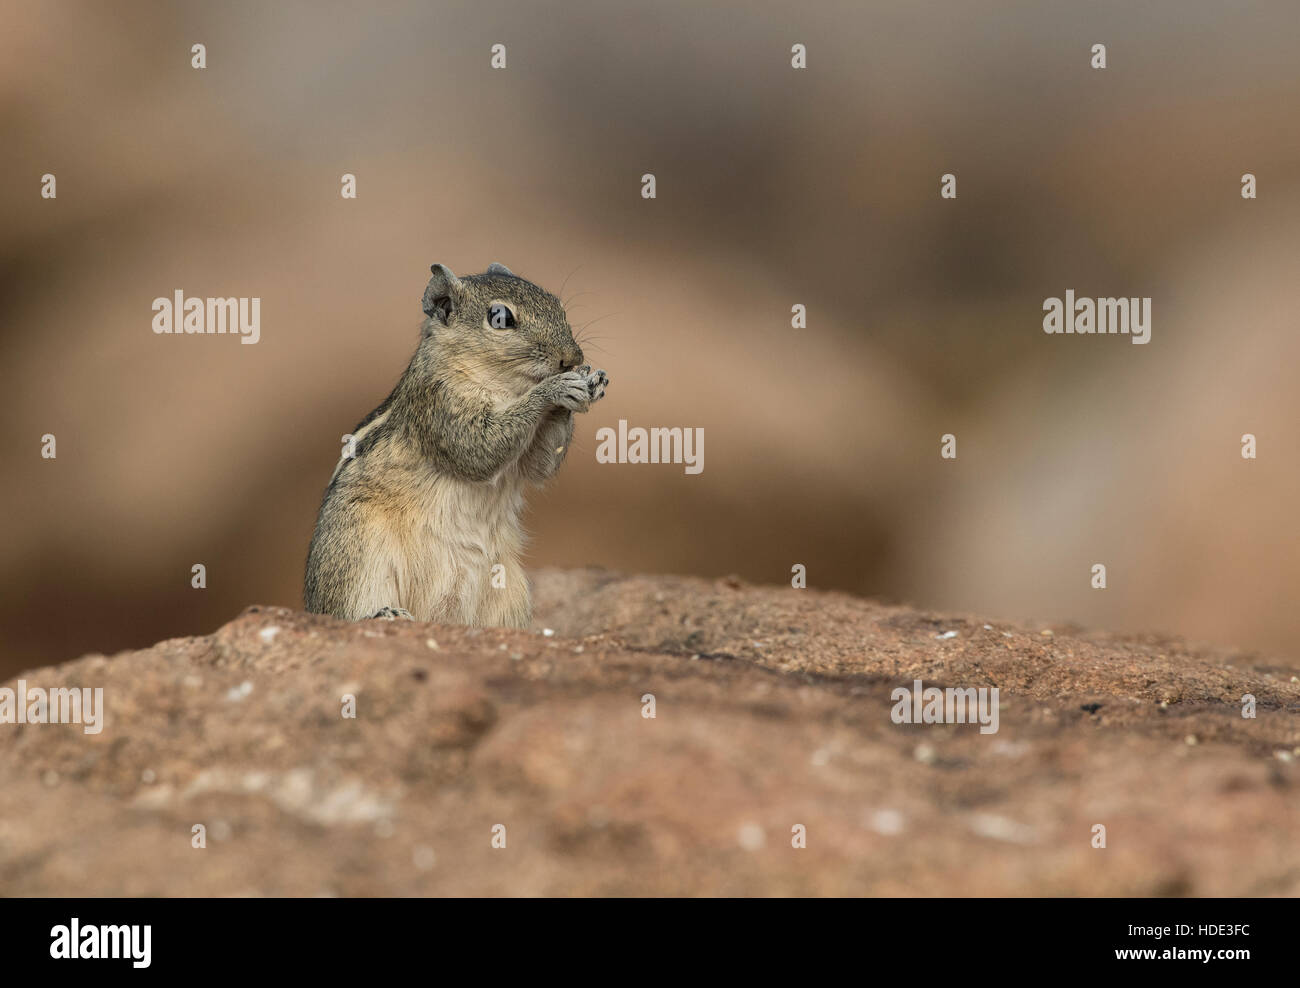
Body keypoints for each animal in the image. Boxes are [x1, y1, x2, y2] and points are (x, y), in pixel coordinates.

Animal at [303, 262, 608, 628]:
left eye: (558, 305)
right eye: (500, 318)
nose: (572, 357)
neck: (504, 386)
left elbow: (539, 465)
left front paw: (588, 383)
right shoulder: (440, 406)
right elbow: (477, 450)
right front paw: (556, 388)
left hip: (510, 593)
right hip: (358, 557)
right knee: (345, 609)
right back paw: (383, 614)